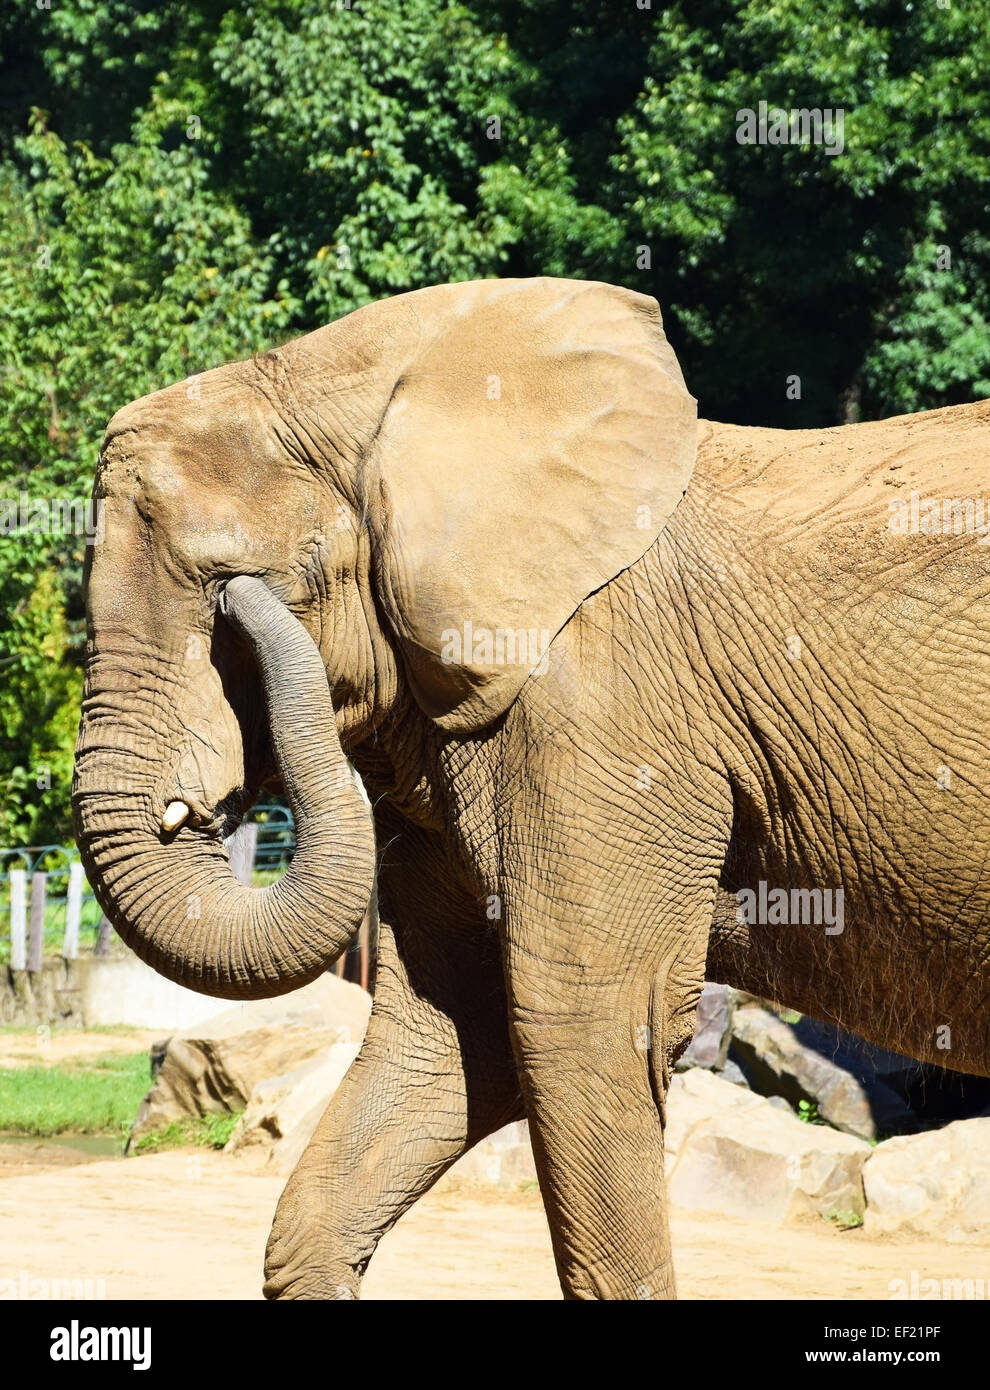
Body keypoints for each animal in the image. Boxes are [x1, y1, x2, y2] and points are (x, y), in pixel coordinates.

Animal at [72, 275, 990, 1301]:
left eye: (232, 585)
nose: (251, 611)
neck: (373, 380)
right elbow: (450, 1028)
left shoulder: (598, 711)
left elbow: (581, 1029)